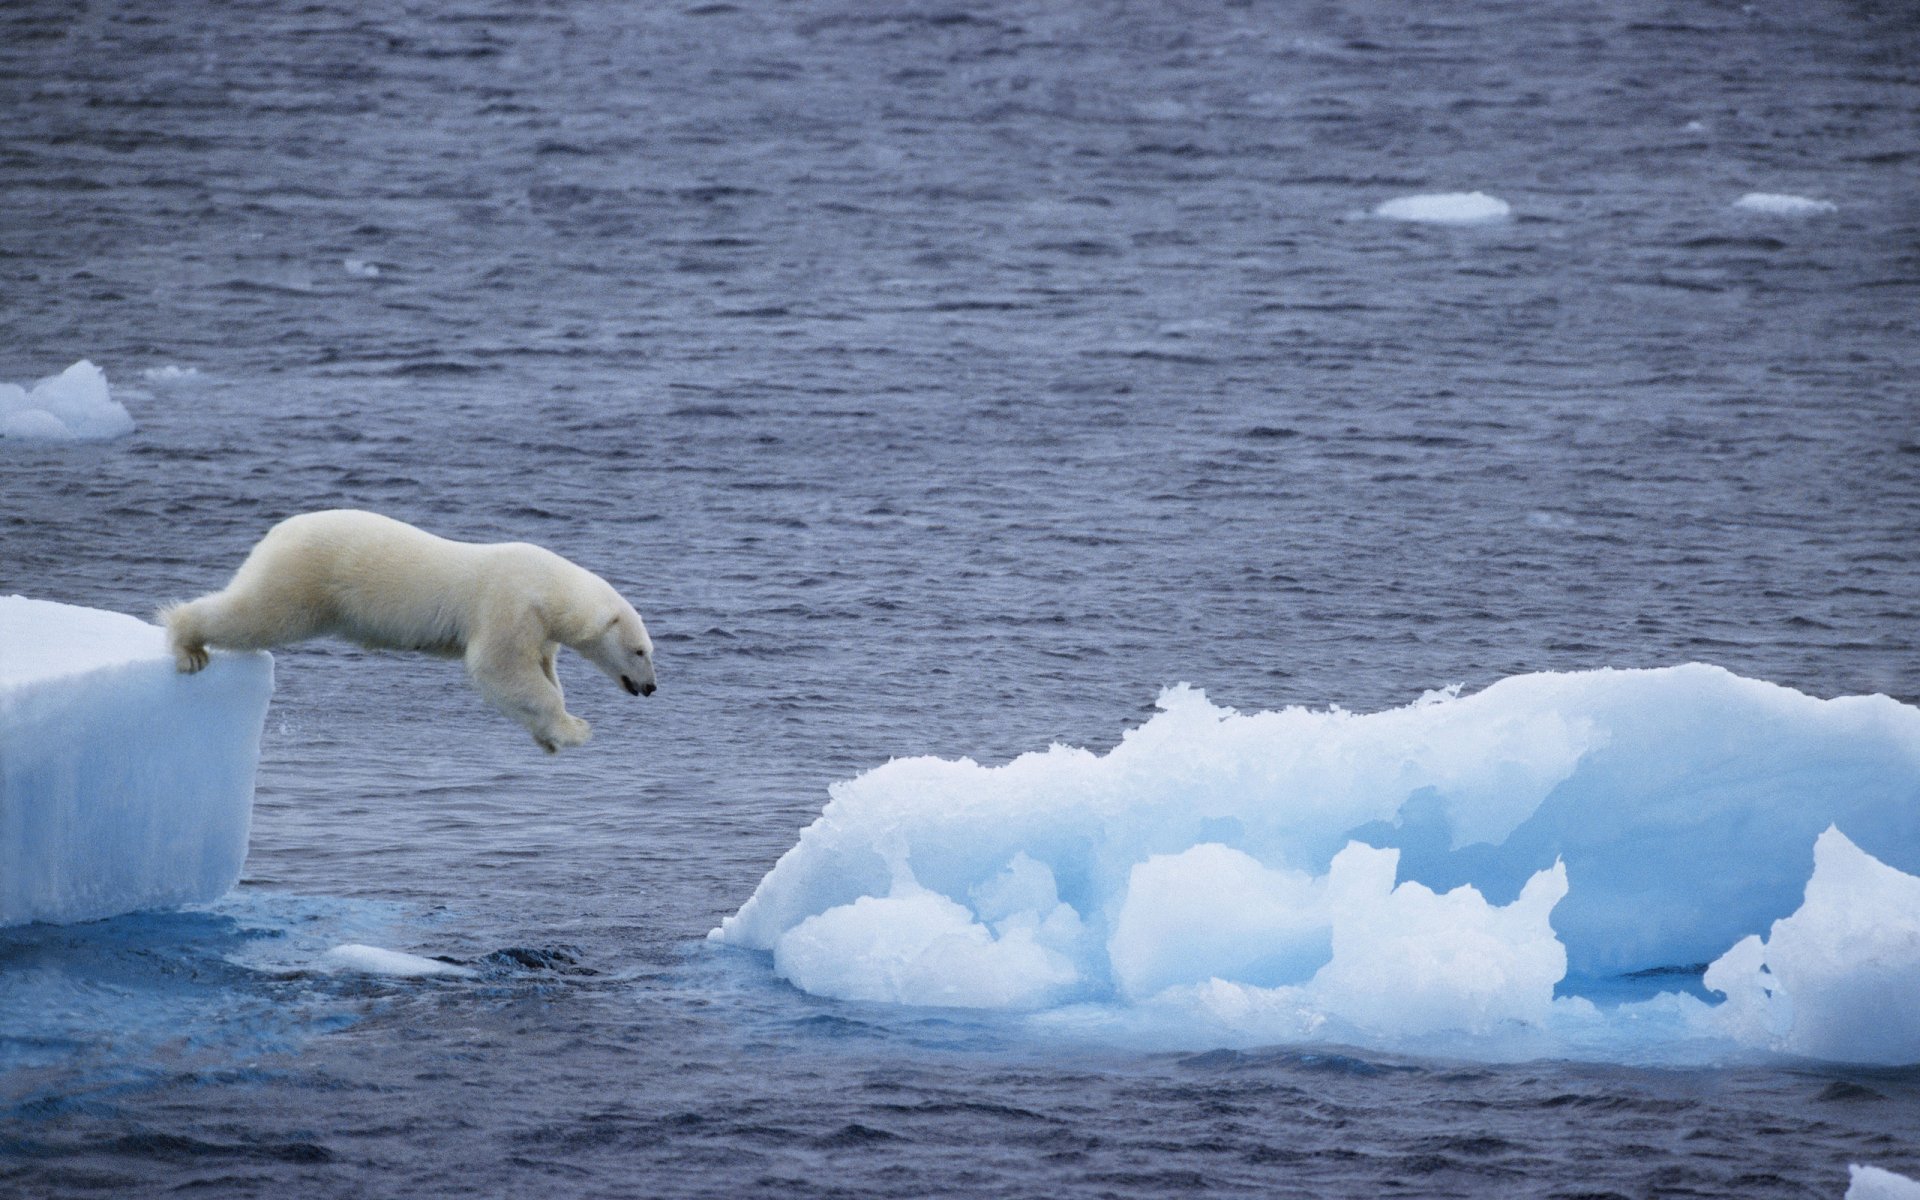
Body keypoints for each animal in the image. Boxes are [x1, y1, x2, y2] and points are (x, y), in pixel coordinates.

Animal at [161, 509, 656, 753]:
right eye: (639, 650)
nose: (651, 688)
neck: (548, 587)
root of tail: (277, 532)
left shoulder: (538, 629)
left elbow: (535, 676)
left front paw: (549, 736)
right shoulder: (508, 606)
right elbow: (497, 667)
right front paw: (575, 729)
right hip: (306, 577)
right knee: (257, 614)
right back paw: (188, 644)